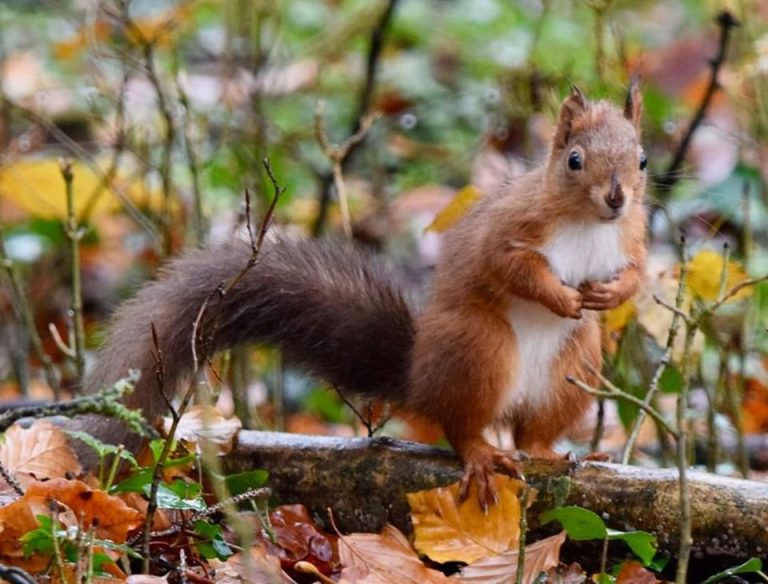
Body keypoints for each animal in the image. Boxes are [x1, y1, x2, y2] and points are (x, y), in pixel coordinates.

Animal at [83, 85, 647, 507]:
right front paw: (560, 297)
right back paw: (481, 454)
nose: (616, 196)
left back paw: (554, 453)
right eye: (574, 160)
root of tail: (420, 380)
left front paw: (609, 293)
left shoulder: (632, 236)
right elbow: (510, 267)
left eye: (642, 159)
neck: (587, 222)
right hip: (480, 350)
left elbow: (636, 274)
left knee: (531, 434)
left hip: (574, 370)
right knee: (461, 426)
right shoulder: (511, 229)